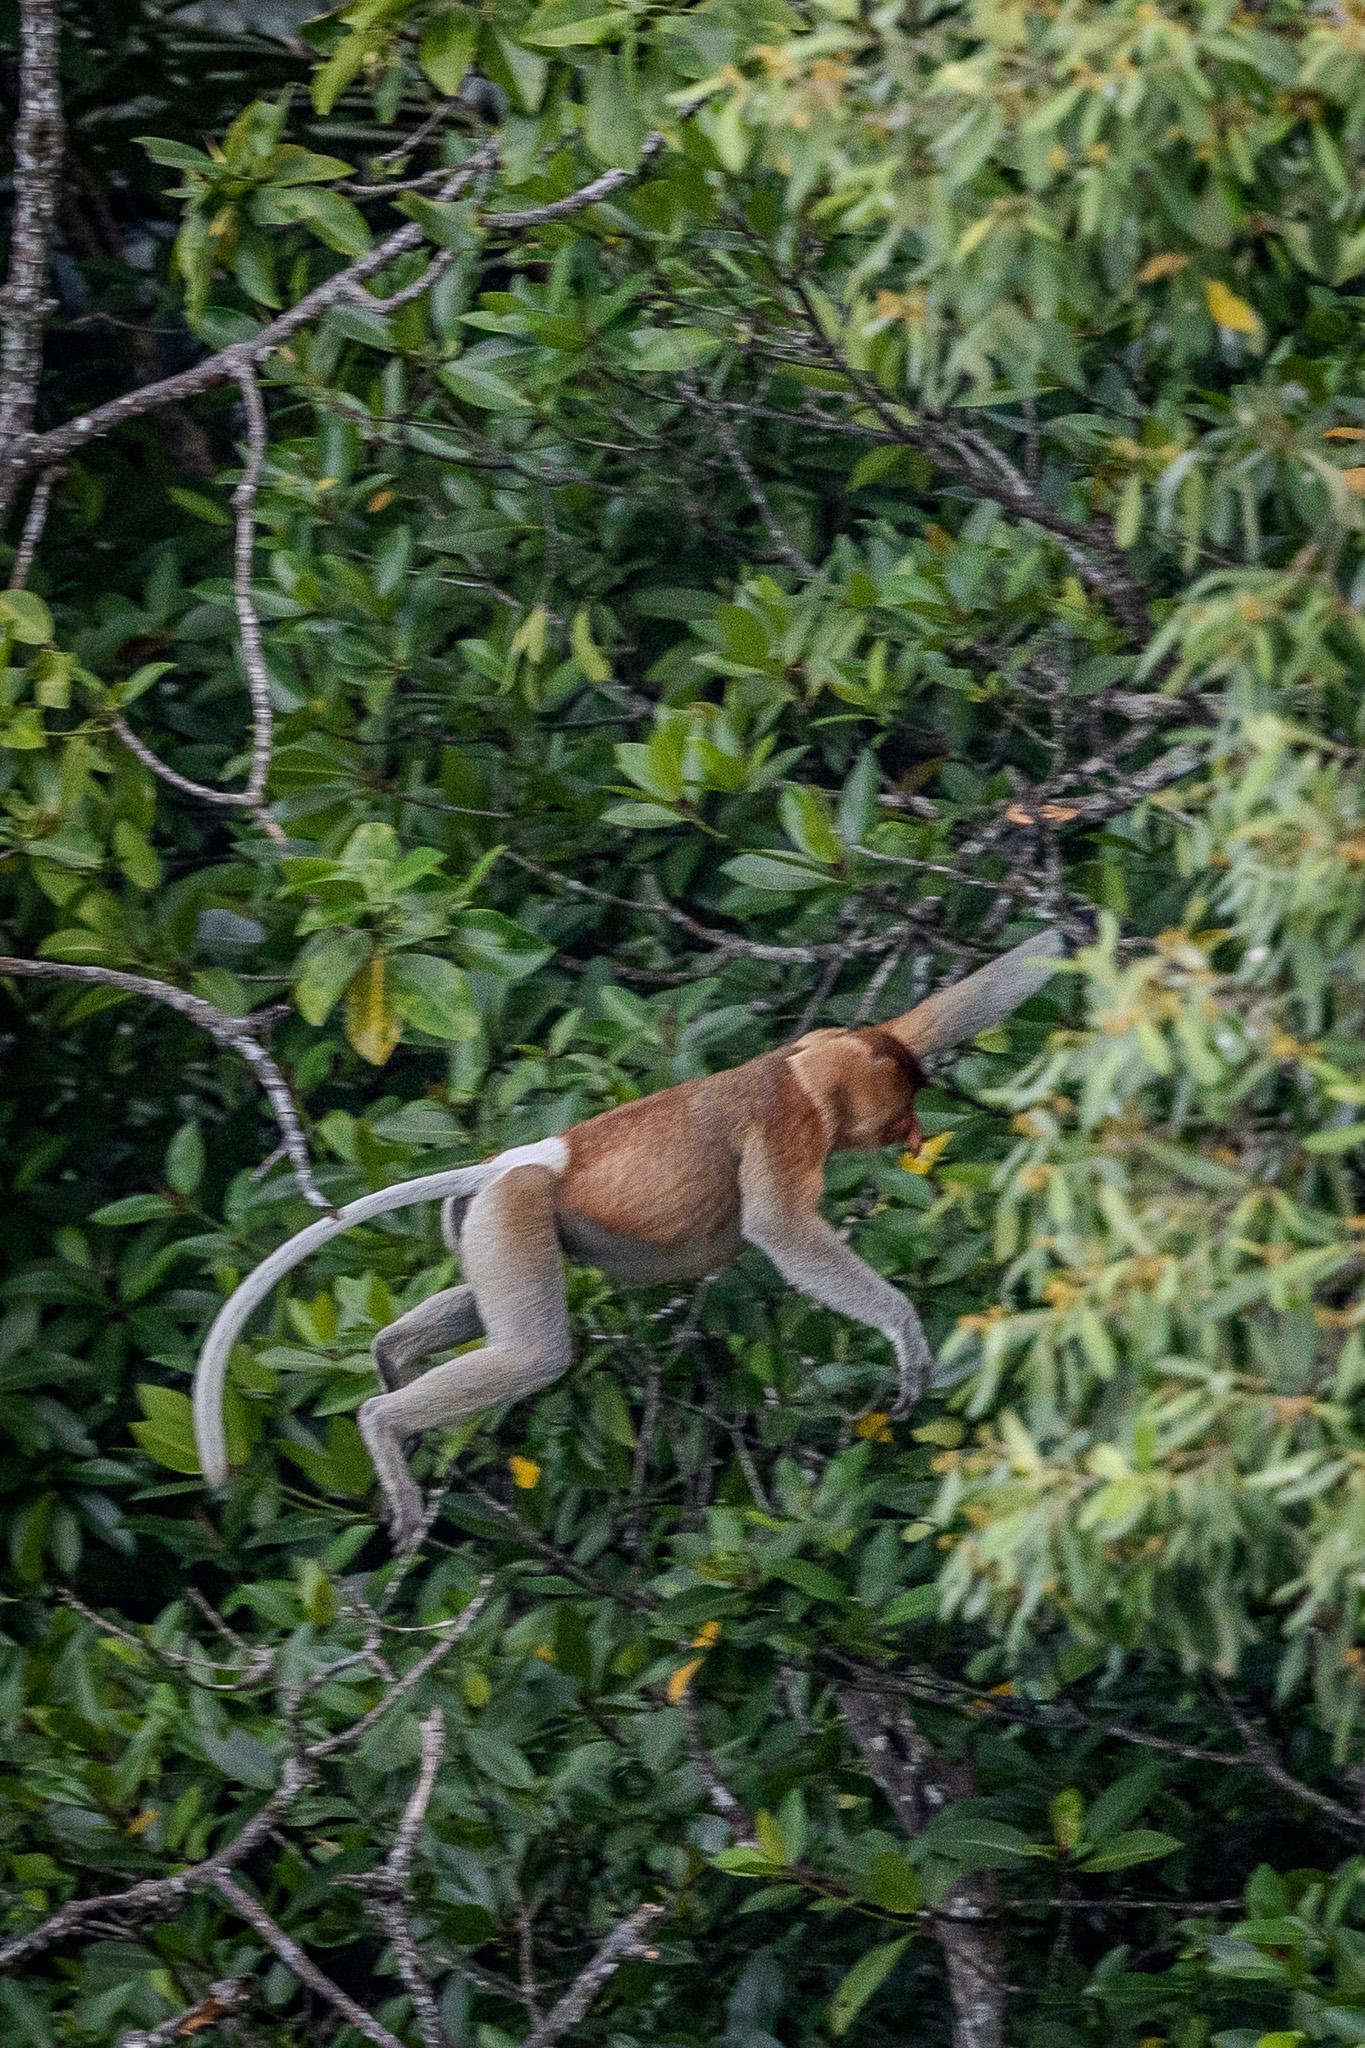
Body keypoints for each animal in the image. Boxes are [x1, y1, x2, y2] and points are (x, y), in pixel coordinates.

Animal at [193, 931, 1060, 1549]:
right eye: (898, 1106)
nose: (912, 1135)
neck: (803, 1070)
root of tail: (520, 1160)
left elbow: (965, 998)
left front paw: (1068, 935)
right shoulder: (783, 1124)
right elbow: (778, 1229)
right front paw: (907, 1338)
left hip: (489, 1223)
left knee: (484, 1309)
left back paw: (389, 1356)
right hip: (516, 1211)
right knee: (533, 1352)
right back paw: (386, 1421)